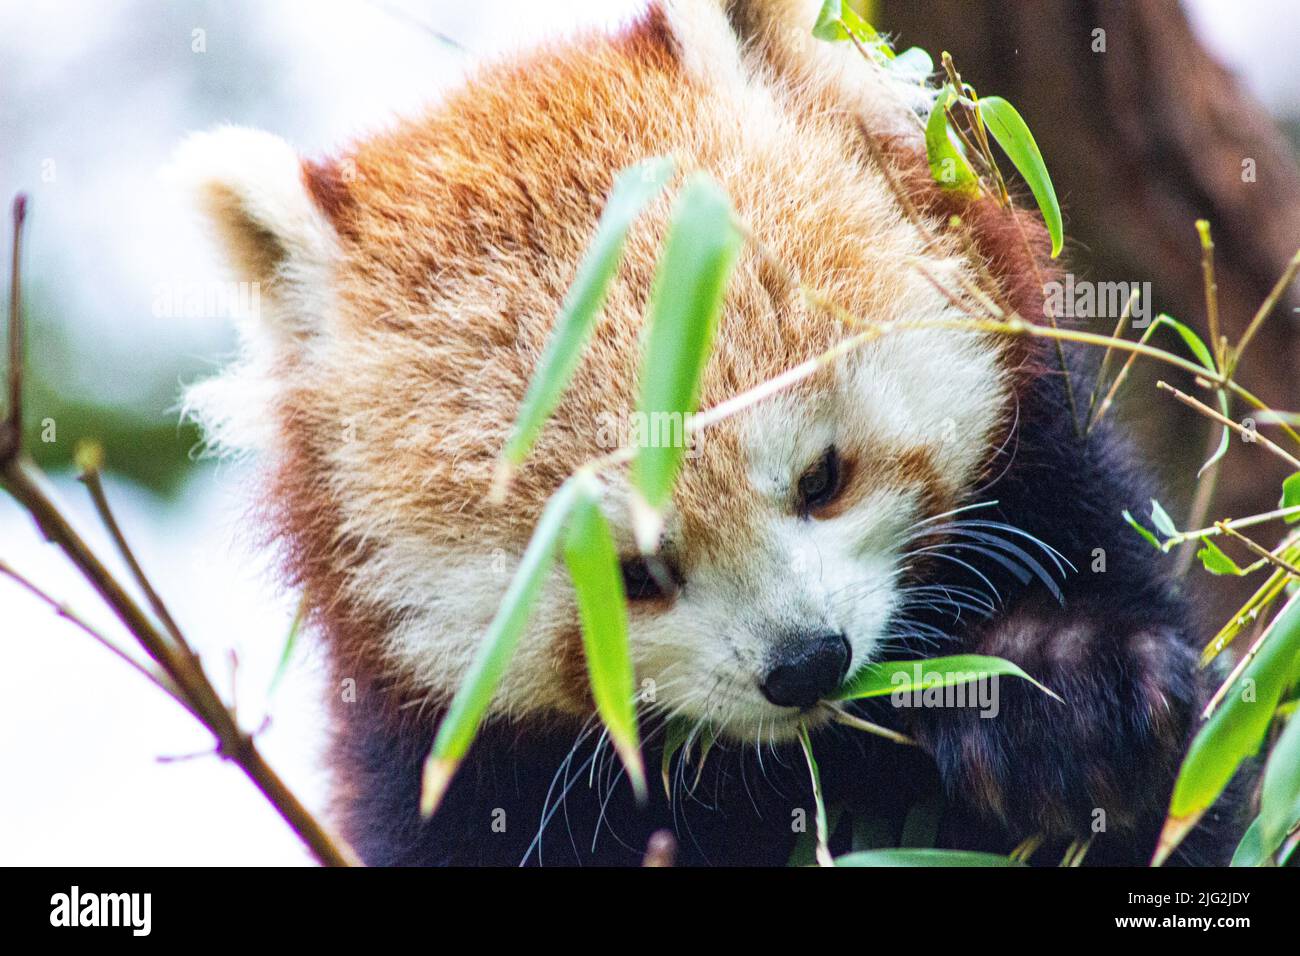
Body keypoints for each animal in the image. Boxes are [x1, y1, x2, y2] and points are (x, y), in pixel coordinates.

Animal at [173, 0, 1241, 865]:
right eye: (631, 575)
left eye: (822, 478)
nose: (806, 663)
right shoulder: (435, 773)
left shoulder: (1065, 489)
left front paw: (1063, 692)